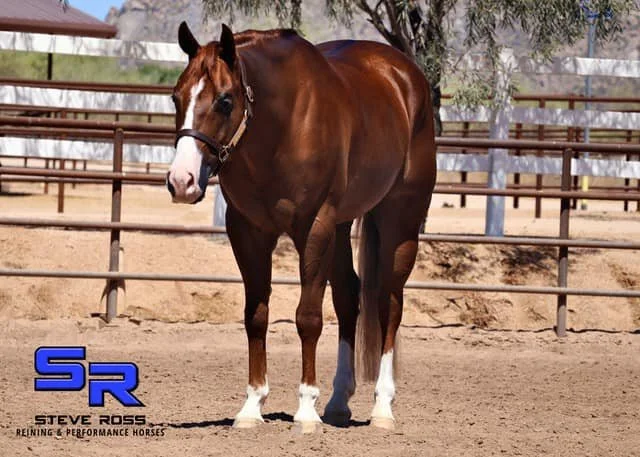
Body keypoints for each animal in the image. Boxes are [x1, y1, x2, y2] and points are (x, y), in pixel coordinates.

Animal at [167, 22, 437, 432]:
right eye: (175, 98)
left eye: (225, 100)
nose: (181, 182)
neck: (283, 127)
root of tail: (405, 75)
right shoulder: (248, 231)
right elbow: (256, 316)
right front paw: (252, 406)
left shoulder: (314, 227)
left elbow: (308, 317)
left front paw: (306, 410)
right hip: (342, 227)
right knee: (349, 298)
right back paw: (339, 402)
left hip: (400, 221)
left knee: (389, 304)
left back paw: (382, 408)